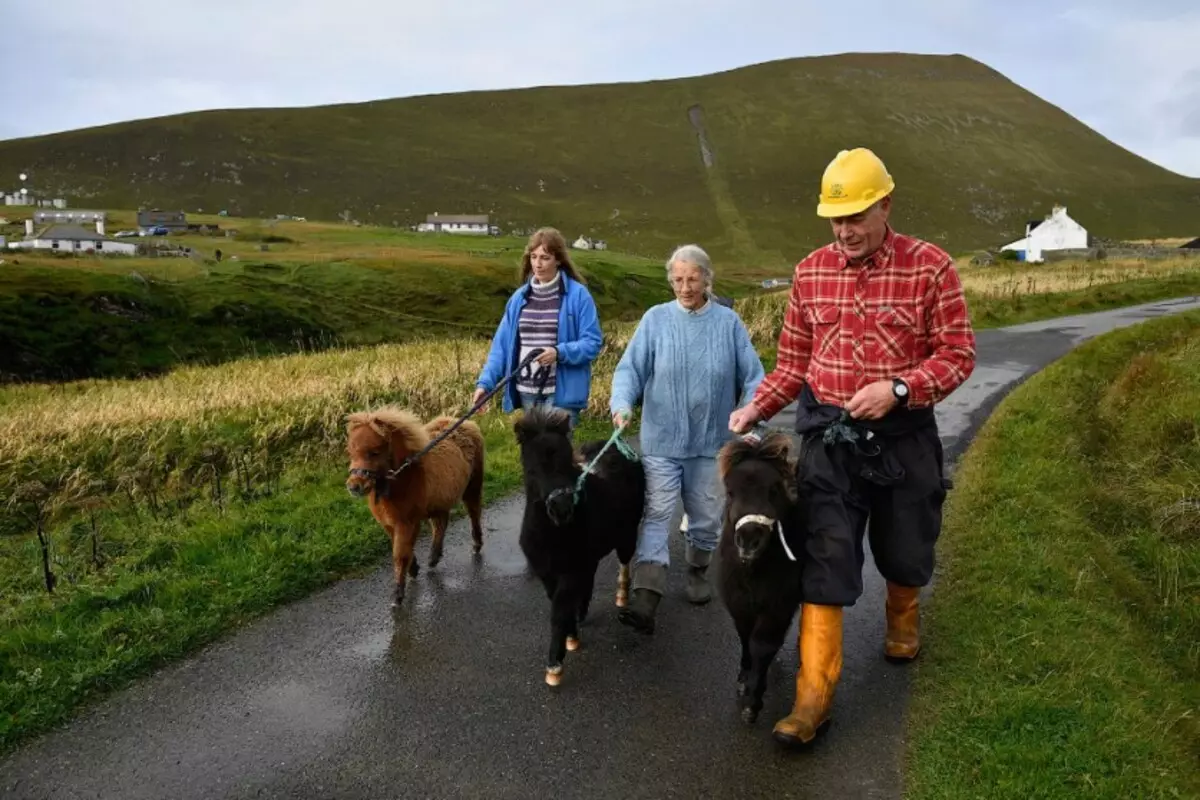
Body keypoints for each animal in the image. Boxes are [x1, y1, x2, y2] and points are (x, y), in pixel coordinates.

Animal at [345, 407, 484, 606]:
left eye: (374, 452)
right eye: (351, 452)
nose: (354, 486)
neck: (403, 478)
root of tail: (466, 423)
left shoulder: (407, 522)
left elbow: (400, 554)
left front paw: (397, 595)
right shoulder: (389, 524)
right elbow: (401, 548)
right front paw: (414, 569)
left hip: (472, 487)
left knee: (474, 512)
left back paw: (476, 544)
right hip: (439, 501)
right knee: (441, 523)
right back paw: (433, 558)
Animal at [516, 410, 648, 686]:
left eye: (567, 458)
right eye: (532, 465)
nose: (561, 508)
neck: (553, 534)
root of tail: (618, 446)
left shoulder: (570, 571)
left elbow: (559, 610)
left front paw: (555, 665)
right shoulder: (548, 573)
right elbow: (560, 604)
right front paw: (571, 636)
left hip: (626, 535)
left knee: (624, 560)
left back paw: (621, 595)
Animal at [710, 431, 806, 724]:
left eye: (773, 490)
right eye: (730, 492)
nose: (749, 540)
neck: (753, 571)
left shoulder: (777, 607)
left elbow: (762, 645)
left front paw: (753, 701)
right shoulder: (738, 604)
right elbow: (744, 637)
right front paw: (744, 677)